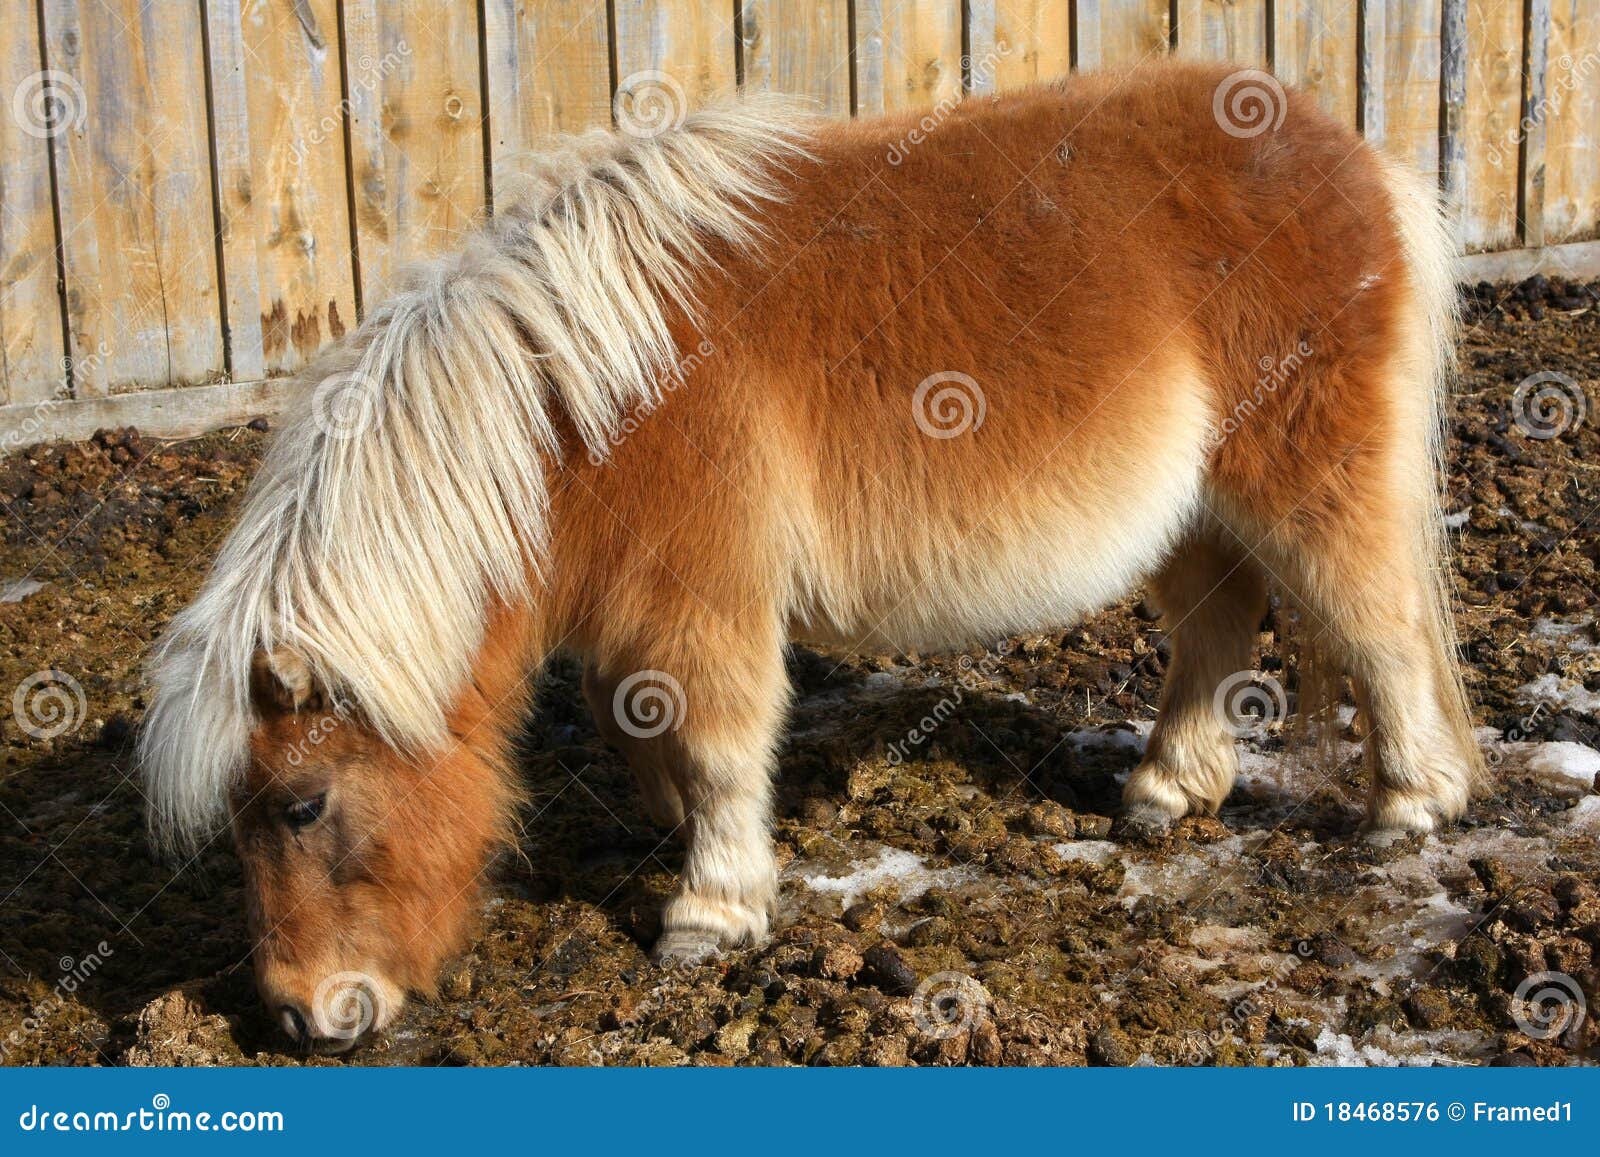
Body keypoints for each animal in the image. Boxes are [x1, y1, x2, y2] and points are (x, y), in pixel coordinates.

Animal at [139, 60, 1485, 1050]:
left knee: (1375, 622)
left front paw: (713, 904)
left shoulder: (701, 597)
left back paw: (1410, 804)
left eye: (303, 803)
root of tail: (1352, 153)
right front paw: (668, 830)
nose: (304, 1016)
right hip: (1192, 507)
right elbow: (635, 722)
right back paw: (1165, 789)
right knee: (1214, 620)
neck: (577, 398)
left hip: (1305, 477)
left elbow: (717, 739)